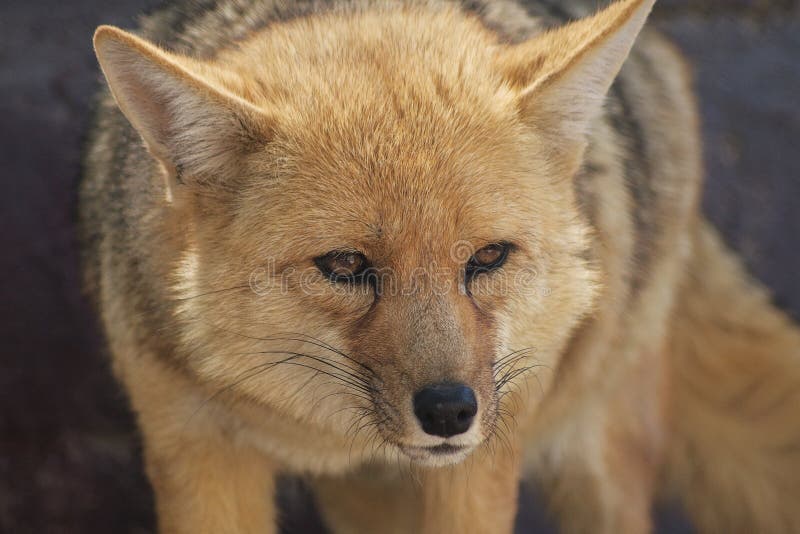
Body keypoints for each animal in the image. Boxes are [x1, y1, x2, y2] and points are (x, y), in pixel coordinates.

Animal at [79, 0, 800, 532]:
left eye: (488, 257)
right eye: (346, 264)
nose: (450, 412)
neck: (335, 442)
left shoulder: (478, 469)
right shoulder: (197, 449)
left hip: (601, 453)